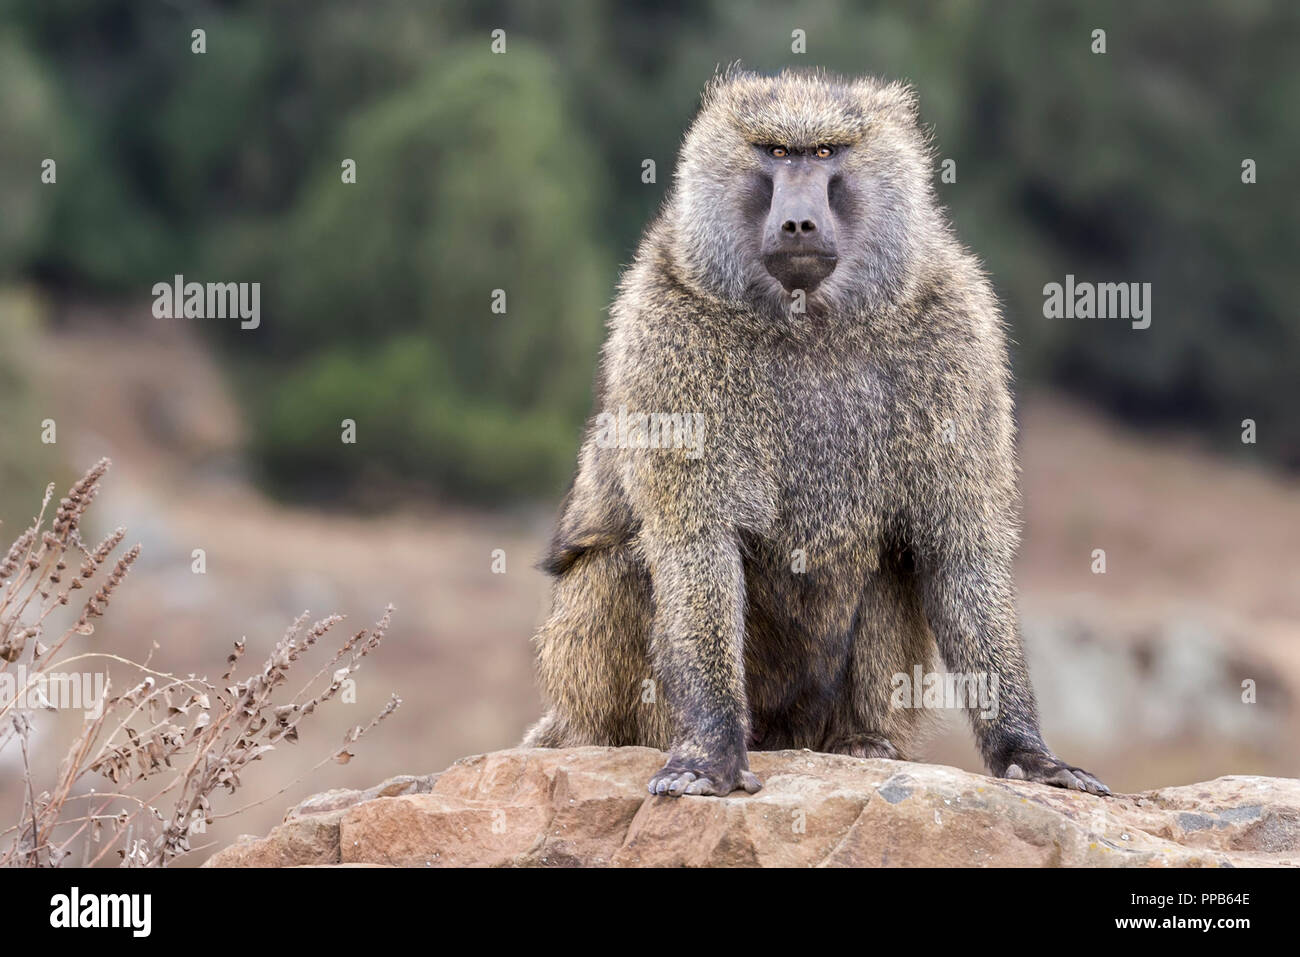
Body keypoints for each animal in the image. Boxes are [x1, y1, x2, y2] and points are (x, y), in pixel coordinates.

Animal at [522, 67, 1109, 799]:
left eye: (826, 152)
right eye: (776, 152)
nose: (799, 220)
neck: (810, 318)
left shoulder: (957, 328)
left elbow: (958, 549)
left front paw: (1028, 752)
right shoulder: (665, 327)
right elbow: (695, 542)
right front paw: (711, 751)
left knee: (890, 562)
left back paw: (860, 741)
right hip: (593, 690)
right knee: (628, 564)